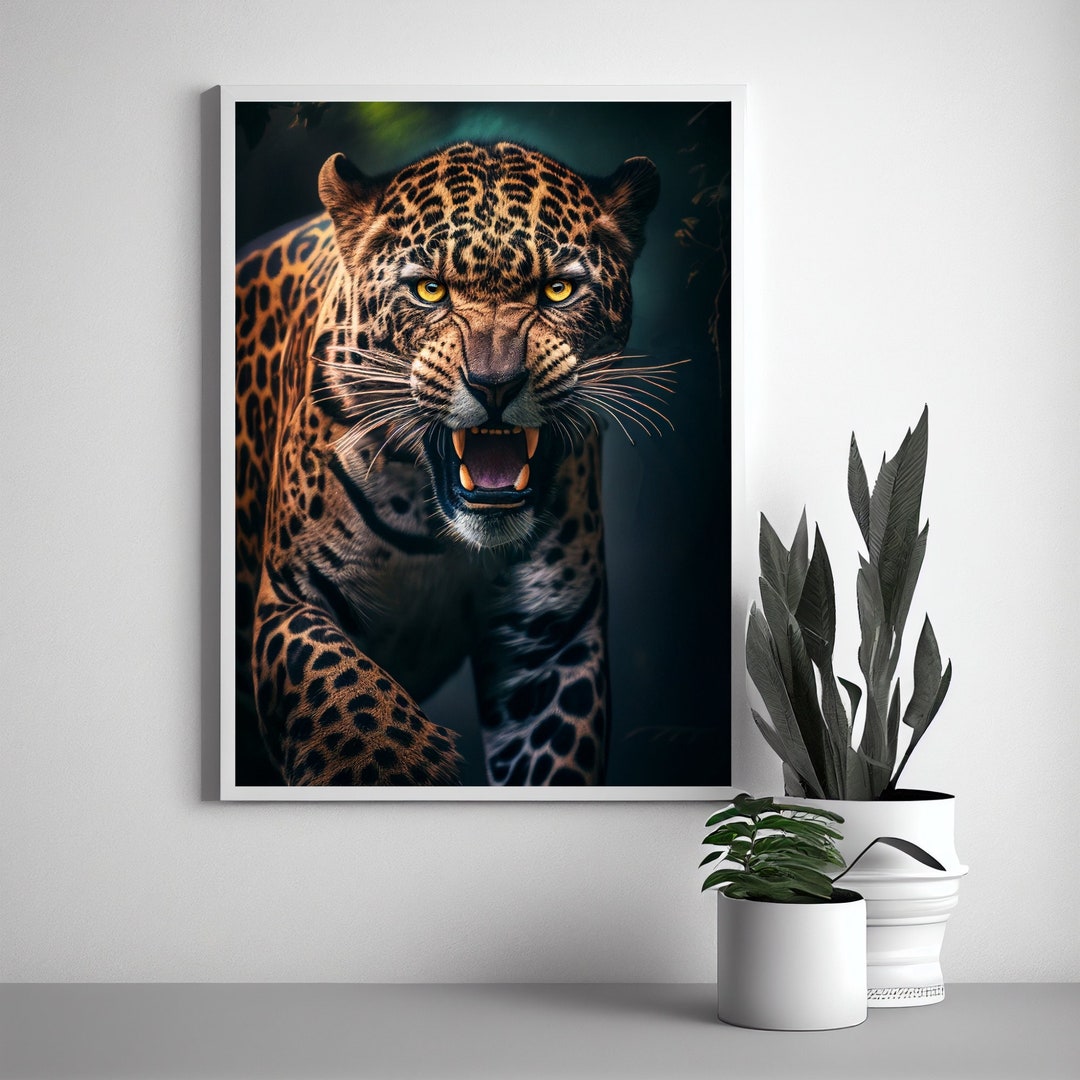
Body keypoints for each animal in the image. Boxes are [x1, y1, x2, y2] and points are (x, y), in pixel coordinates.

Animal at [234, 139, 665, 786]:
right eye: (430, 291)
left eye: (558, 291)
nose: (495, 384)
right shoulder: (291, 597)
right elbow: (342, 689)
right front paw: (397, 760)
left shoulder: (552, 638)